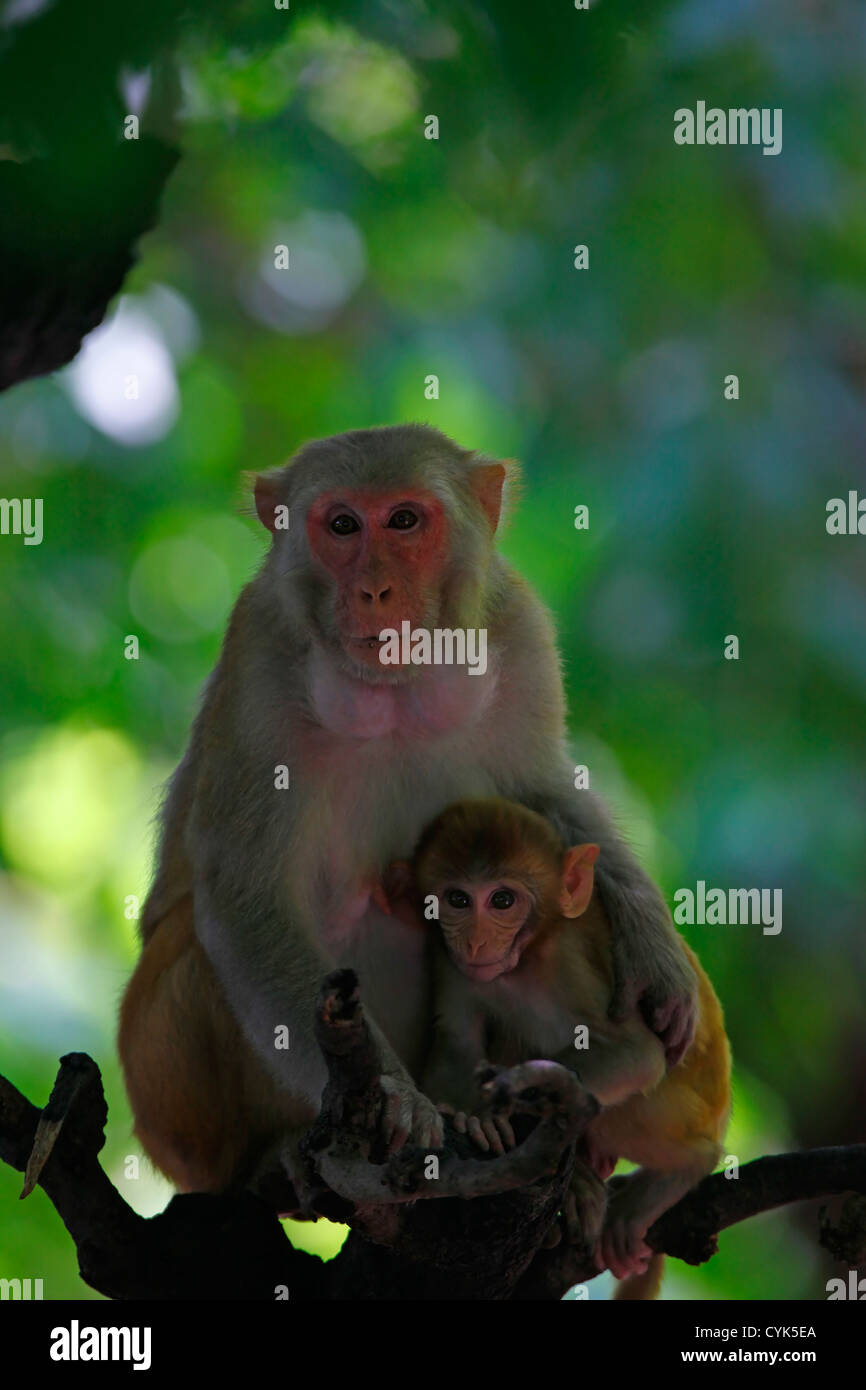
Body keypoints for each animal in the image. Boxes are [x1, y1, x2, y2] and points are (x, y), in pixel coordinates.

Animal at [118, 424, 699, 1206]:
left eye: (403, 521)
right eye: (341, 526)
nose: (373, 589)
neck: (395, 689)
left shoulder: (518, 624)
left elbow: (546, 790)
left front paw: (654, 952)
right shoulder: (257, 647)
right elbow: (243, 891)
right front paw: (400, 1097)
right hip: (167, 1106)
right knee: (191, 941)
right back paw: (275, 1152)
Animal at [381, 796, 731, 1295]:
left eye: (502, 900)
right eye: (457, 899)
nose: (476, 941)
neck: (526, 960)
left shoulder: (571, 964)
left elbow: (638, 1055)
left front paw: (501, 1106)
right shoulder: (449, 959)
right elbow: (456, 1041)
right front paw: (469, 1115)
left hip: (682, 1113)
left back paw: (681, 1166)